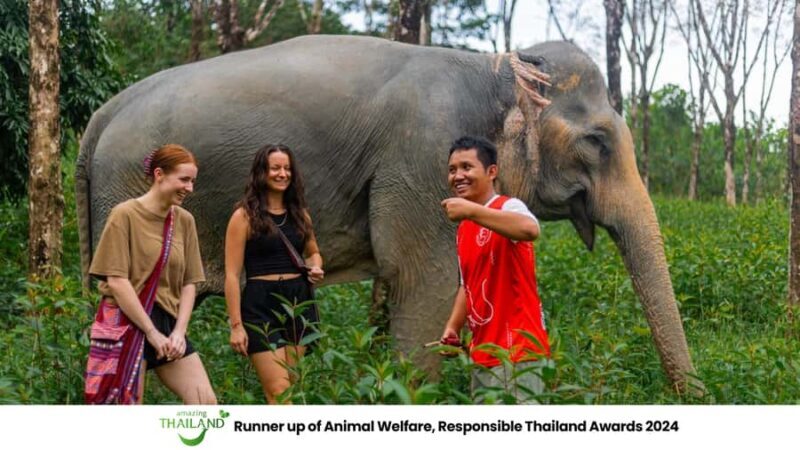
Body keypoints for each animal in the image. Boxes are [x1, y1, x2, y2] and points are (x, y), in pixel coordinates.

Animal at [76, 35, 700, 394]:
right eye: (597, 141)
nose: (688, 393)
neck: (493, 68)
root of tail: (99, 118)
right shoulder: (422, 155)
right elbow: (424, 282)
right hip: (129, 193)